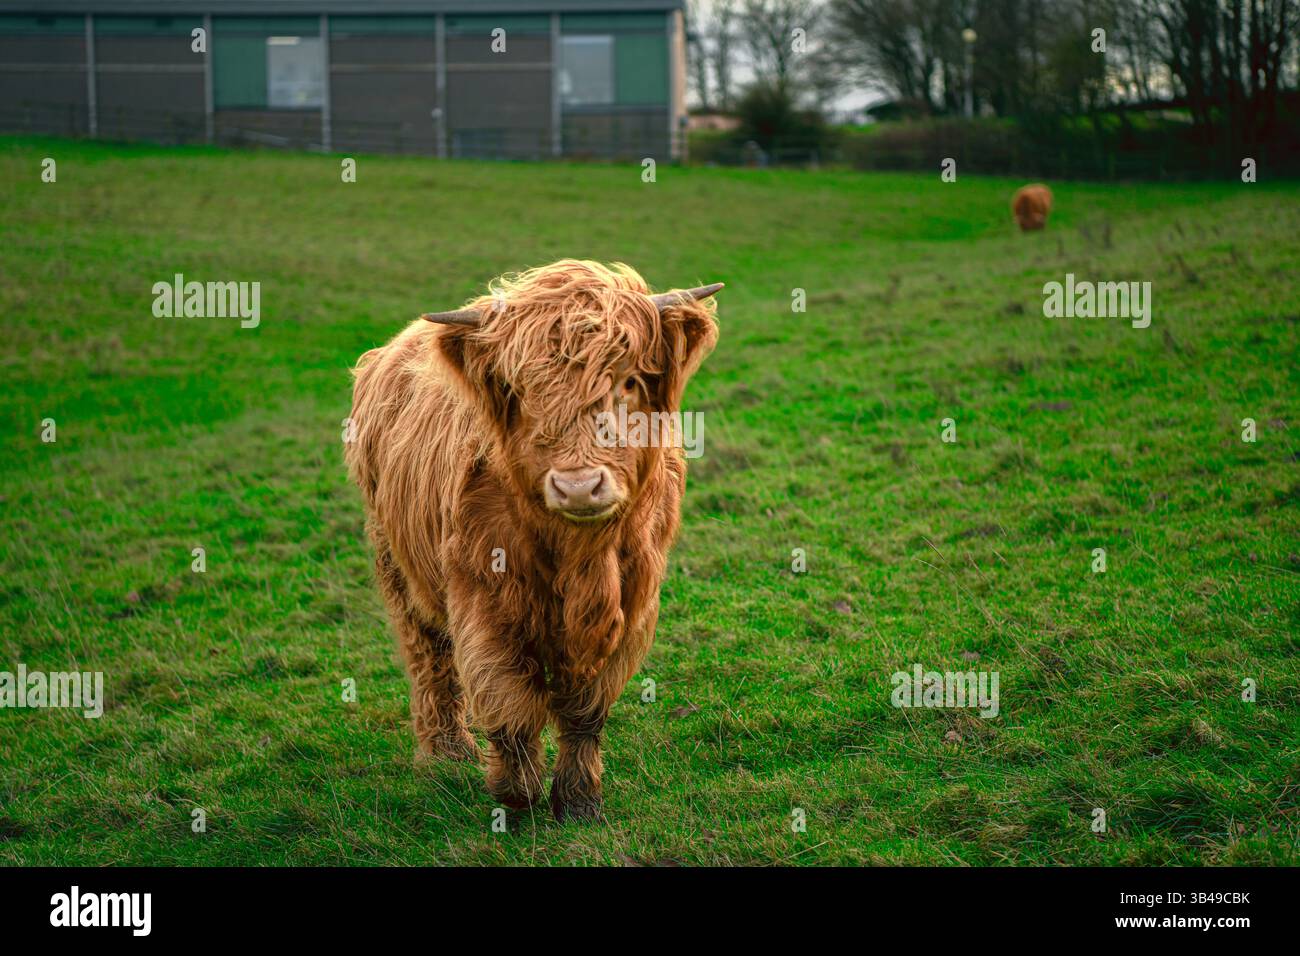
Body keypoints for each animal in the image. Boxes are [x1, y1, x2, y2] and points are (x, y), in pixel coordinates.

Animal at [345, 260, 721, 821]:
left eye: (628, 382)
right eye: (520, 393)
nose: (578, 486)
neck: (578, 557)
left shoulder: (633, 601)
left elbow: (587, 710)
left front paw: (579, 800)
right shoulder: (484, 600)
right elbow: (509, 703)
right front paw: (517, 797)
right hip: (395, 560)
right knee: (428, 656)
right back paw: (445, 752)